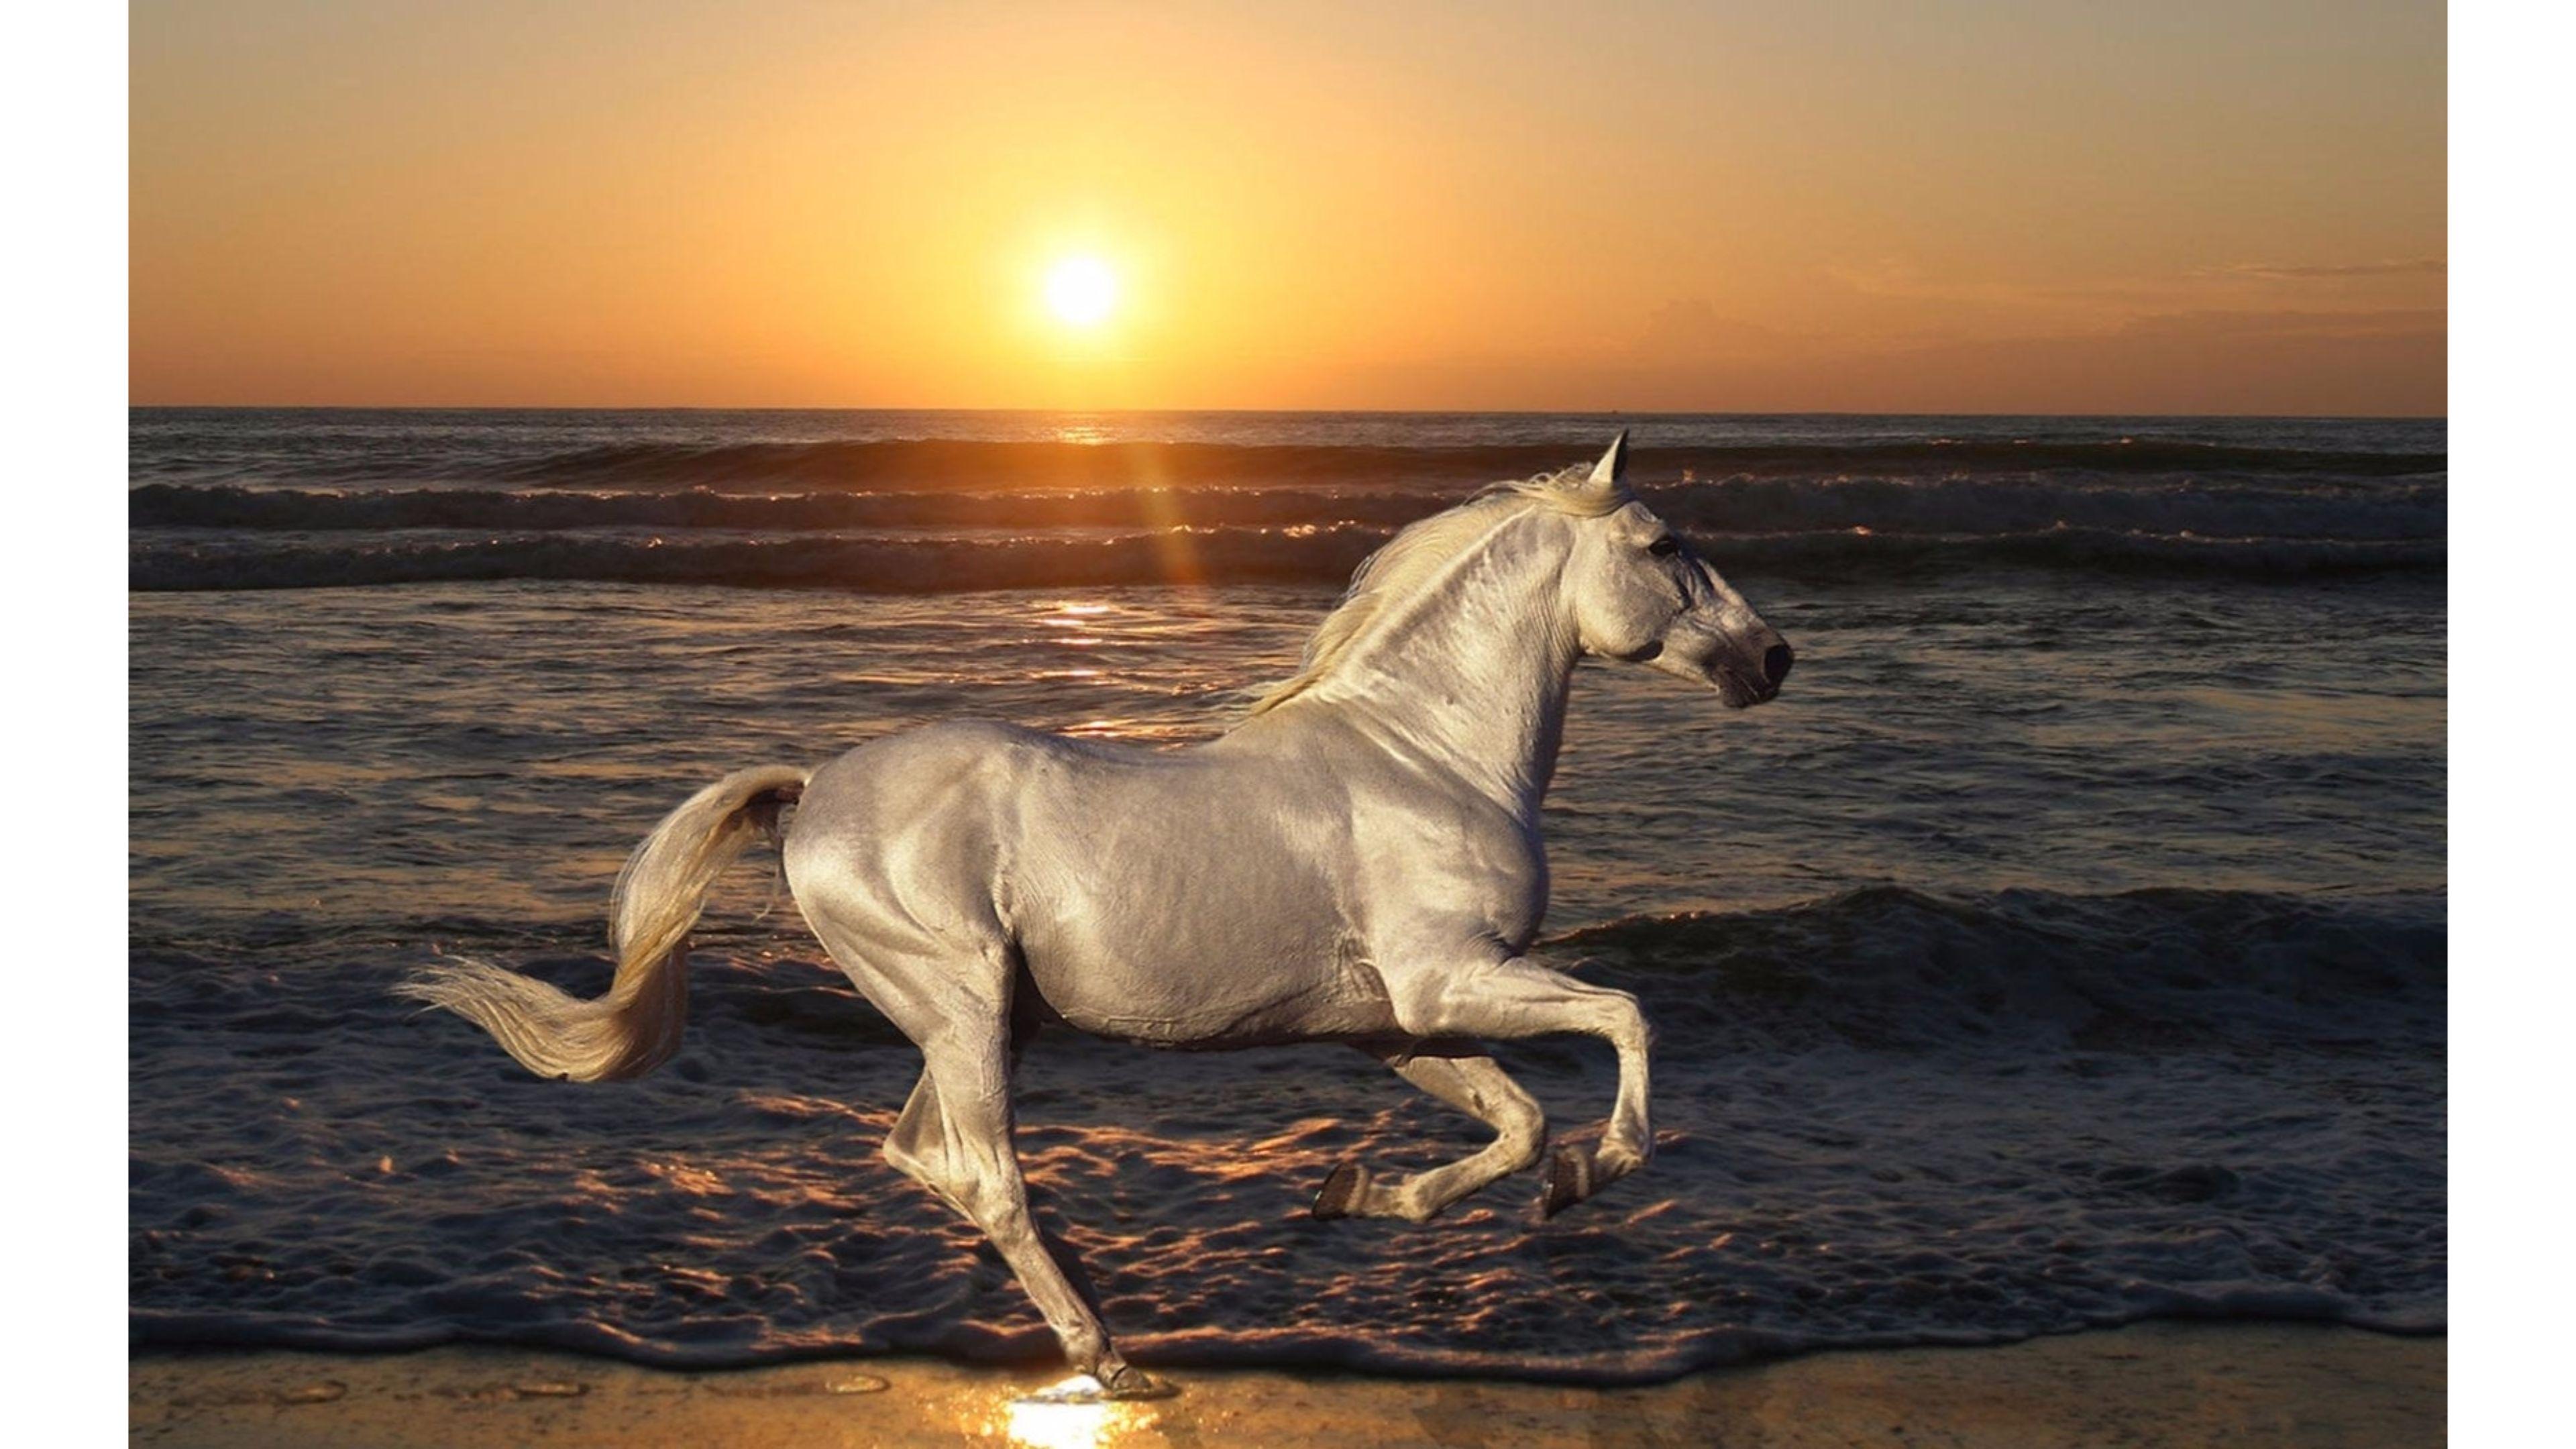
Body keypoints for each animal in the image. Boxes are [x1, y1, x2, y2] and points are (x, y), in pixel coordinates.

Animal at [400, 432, 1791, 1397]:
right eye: (1666, 546)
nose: (1772, 660)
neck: (1423, 756)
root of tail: (814, 792)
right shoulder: (1450, 981)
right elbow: (1626, 1022)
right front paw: (1594, 1174)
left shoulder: (1396, 1024)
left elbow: (1513, 1127)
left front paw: (1359, 1195)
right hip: (962, 1005)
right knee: (984, 1174)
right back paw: (1107, 1351)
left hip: (979, 1022)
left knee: (927, 1158)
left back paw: (1099, 1313)